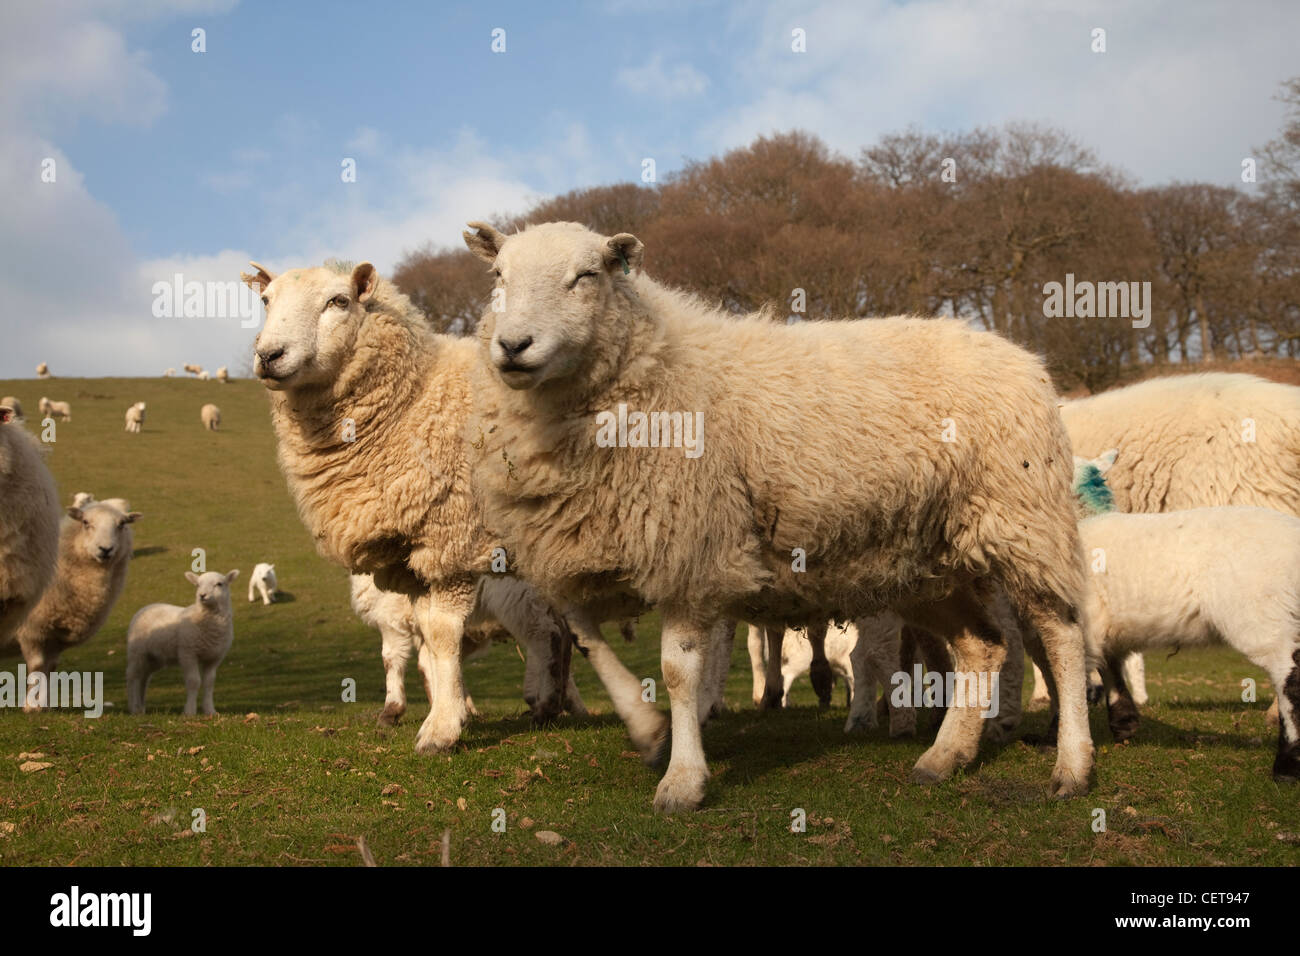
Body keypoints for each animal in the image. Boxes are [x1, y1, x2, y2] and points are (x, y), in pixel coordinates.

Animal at [10, 501, 141, 709]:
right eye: (86, 522)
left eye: (121, 524)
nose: (105, 549)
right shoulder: (31, 631)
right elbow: (37, 667)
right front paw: (31, 707)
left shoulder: (55, 637)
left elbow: (49, 668)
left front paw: (44, 706)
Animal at [126, 570, 238, 716]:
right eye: (197, 585)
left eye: (219, 584)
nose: (202, 595)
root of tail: (146, 607)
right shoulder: (187, 652)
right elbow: (194, 681)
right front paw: (190, 711)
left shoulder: (214, 657)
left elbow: (209, 683)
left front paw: (210, 711)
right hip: (136, 651)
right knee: (133, 676)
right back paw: (133, 707)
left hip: (154, 657)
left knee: (144, 678)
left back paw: (141, 708)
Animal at [241, 259, 636, 756]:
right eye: (265, 300)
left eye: (339, 301)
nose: (270, 355)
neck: (414, 398)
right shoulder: (411, 562)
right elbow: (428, 643)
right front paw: (448, 712)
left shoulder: (451, 541)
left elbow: (441, 636)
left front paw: (441, 729)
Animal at [463, 220, 1093, 811]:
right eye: (498, 276)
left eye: (587, 276)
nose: (513, 346)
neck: (652, 367)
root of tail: (1023, 358)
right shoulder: (590, 546)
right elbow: (584, 636)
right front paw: (646, 731)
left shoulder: (693, 546)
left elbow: (678, 672)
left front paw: (683, 780)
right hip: (927, 559)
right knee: (982, 645)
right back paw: (946, 756)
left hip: (1024, 522)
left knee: (1061, 637)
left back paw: (1072, 767)